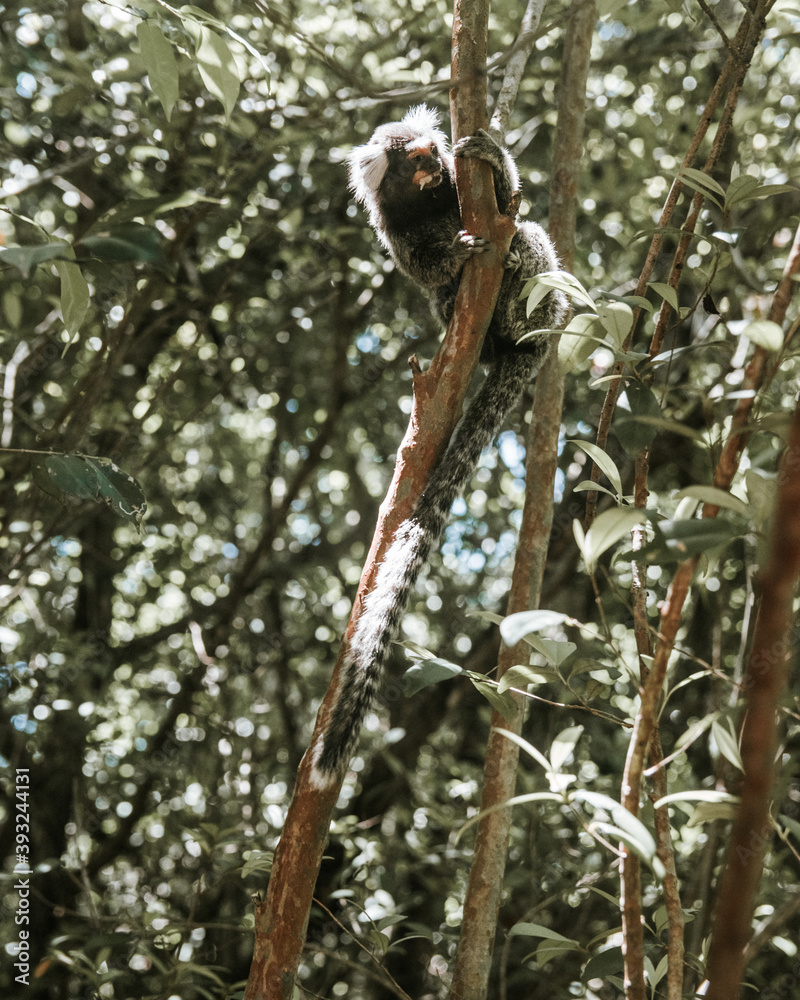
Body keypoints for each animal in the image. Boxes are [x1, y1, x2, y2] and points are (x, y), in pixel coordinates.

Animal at [312, 105, 568, 780]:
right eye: (411, 161)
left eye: (435, 151)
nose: (435, 163)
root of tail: (528, 350)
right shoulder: (395, 232)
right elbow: (424, 267)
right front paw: (452, 256)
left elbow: (509, 201)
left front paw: (492, 155)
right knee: (447, 293)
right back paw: (463, 305)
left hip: (550, 307)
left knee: (529, 242)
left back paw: (514, 290)